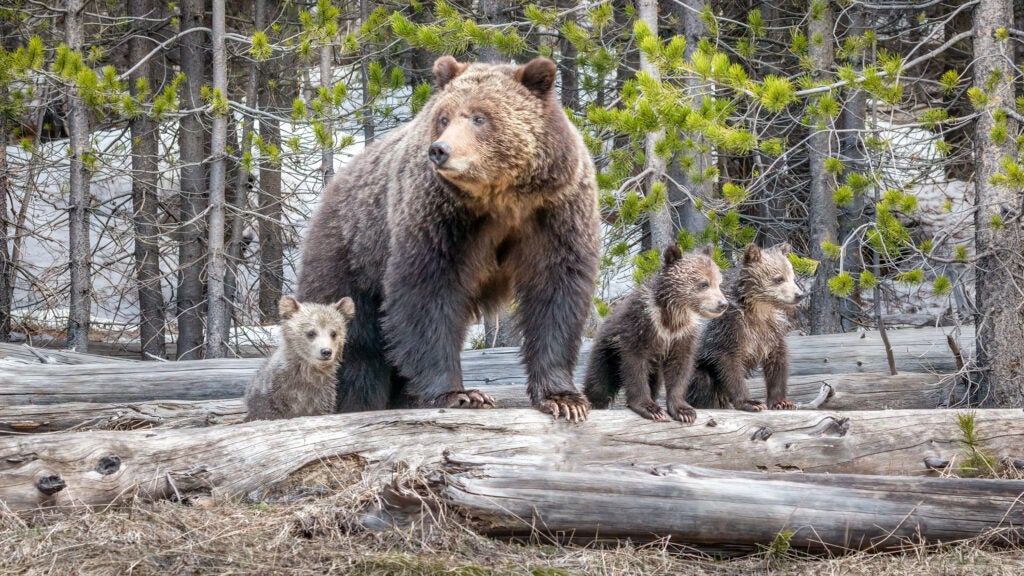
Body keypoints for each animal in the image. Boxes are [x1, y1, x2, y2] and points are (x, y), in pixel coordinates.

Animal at [296, 56, 600, 422]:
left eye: (480, 117)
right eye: (444, 117)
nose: (440, 150)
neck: (501, 198)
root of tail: (331, 190)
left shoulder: (554, 214)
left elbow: (556, 294)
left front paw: (563, 399)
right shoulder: (441, 219)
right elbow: (428, 295)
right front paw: (461, 394)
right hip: (352, 258)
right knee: (355, 345)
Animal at [583, 245, 729, 422]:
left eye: (718, 282)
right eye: (703, 284)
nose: (722, 304)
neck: (671, 319)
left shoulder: (682, 336)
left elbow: (679, 369)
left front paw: (684, 411)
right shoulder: (639, 328)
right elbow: (635, 367)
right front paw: (650, 408)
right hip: (608, 351)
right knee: (600, 380)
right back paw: (594, 401)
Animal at [686, 243, 805, 412]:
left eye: (792, 277)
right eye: (779, 279)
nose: (799, 295)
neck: (757, 311)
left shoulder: (771, 331)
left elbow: (777, 362)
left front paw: (782, 402)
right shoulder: (727, 329)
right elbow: (730, 365)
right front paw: (751, 402)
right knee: (701, 379)